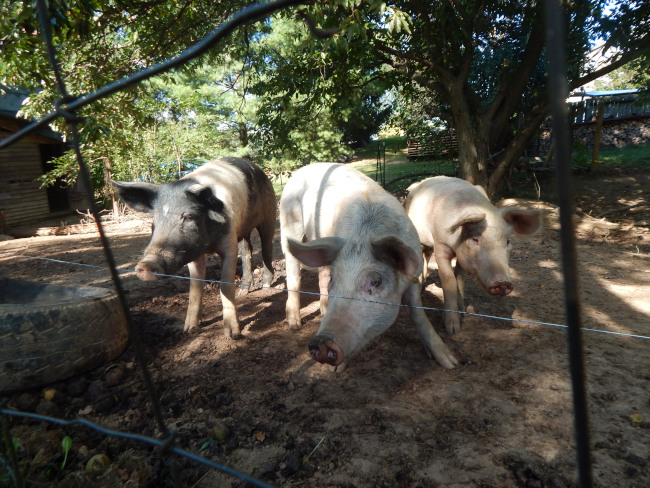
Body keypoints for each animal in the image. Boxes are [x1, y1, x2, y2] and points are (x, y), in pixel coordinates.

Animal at [111, 157, 276, 338]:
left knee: (267, 247)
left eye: (188, 217)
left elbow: (225, 285)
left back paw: (266, 285)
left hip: (269, 214)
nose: (145, 265)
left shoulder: (229, 242)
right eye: (154, 221)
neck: (209, 244)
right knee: (247, 251)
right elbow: (195, 287)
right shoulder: (192, 252)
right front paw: (189, 330)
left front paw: (233, 335)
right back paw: (242, 292)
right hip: (243, 230)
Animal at [279, 162, 458, 373]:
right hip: (288, 222)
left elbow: (419, 315)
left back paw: (322, 311)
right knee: (293, 275)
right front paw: (336, 371)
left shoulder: (413, 279)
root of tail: (301, 170)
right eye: (336, 280)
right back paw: (294, 325)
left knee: (320, 275)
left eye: (375, 281)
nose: (321, 343)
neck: (365, 236)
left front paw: (450, 363)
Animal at [404, 176, 542, 335]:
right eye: (475, 239)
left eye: (507, 241)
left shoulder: (463, 259)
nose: (503, 283)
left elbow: (459, 279)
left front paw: (463, 313)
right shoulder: (441, 245)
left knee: (426, 255)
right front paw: (453, 330)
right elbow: (449, 282)